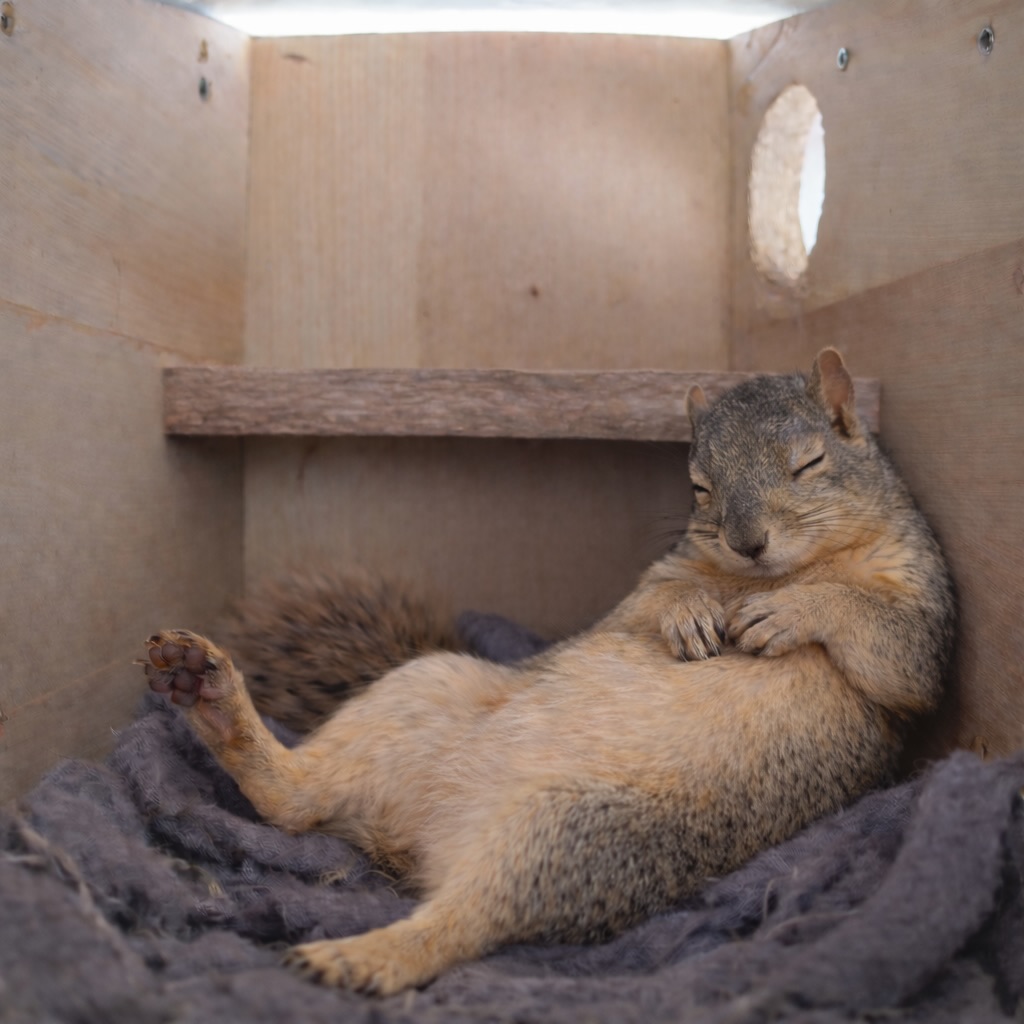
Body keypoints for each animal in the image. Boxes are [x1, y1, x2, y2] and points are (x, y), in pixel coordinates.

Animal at [141, 348, 955, 996]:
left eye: (810, 462)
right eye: (698, 487)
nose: (746, 541)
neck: (766, 575)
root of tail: (416, 836)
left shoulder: (927, 611)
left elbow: (898, 650)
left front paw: (790, 611)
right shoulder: (646, 584)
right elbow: (646, 604)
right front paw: (691, 612)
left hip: (574, 834)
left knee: (462, 921)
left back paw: (363, 957)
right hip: (427, 691)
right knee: (295, 804)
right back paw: (207, 690)